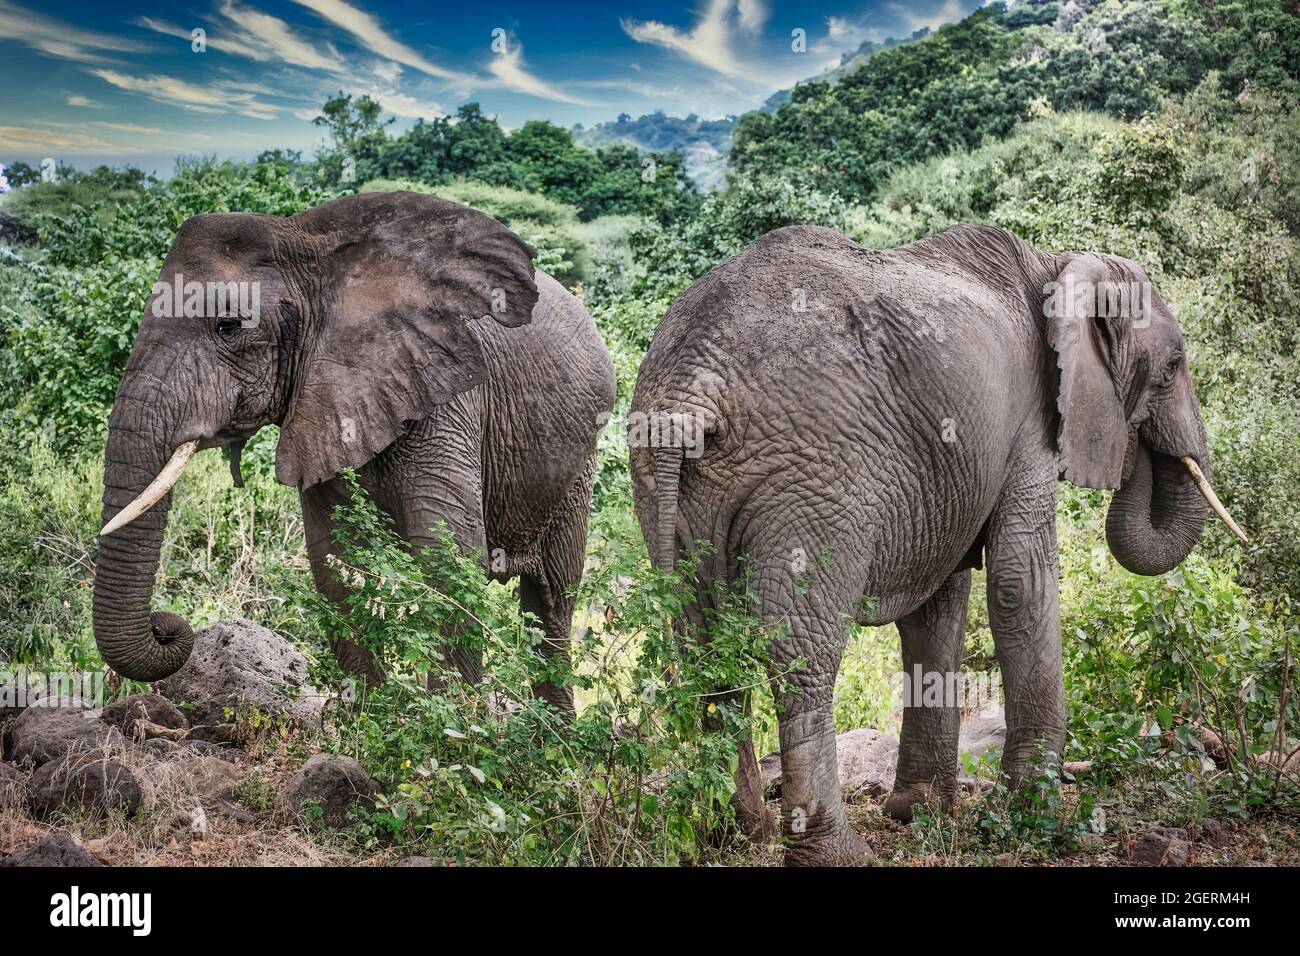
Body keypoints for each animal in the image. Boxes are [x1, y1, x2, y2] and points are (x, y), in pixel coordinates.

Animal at [94, 191, 616, 715]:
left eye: (228, 327)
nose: (167, 626)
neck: (306, 242)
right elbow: (334, 562)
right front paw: (368, 718)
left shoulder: (447, 395)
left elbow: (448, 557)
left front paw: (451, 725)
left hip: (580, 461)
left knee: (552, 599)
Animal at [629, 223, 1245, 865]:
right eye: (1173, 365)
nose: (1143, 450)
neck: (1058, 261)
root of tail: (691, 385)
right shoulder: (1030, 420)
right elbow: (1018, 579)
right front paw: (1034, 815)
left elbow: (937, 607)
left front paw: (919, 812)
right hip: (813, 481)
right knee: (799, 653)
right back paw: (837, 851)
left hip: (668, 488)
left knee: (703, 647)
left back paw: (744, 832)